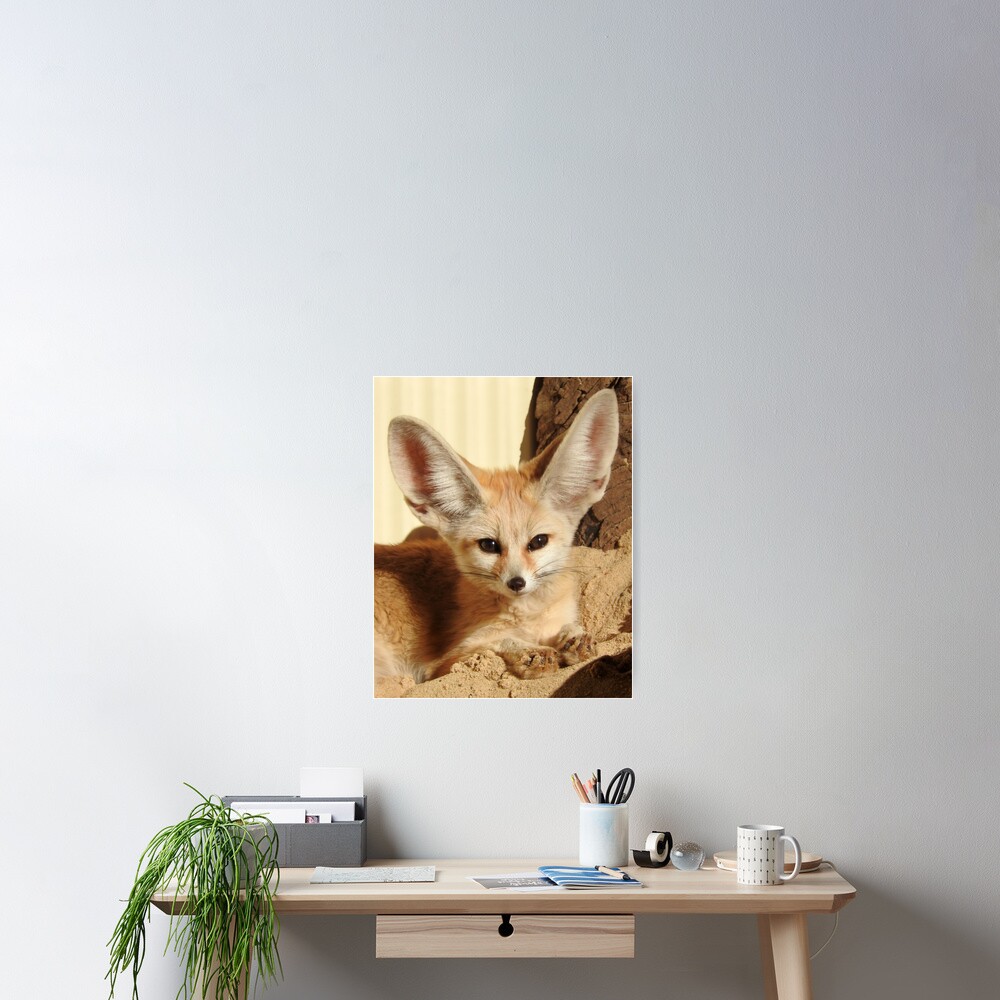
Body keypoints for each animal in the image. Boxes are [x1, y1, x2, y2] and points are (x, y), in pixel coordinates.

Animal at [374, 388, 620, 684]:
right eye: (489, 545)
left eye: (538, 542)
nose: (516, 582)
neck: (530, 616)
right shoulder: (446, 661)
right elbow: (500, 641)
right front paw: (530, 652)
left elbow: (570, 627)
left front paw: (574, 637)